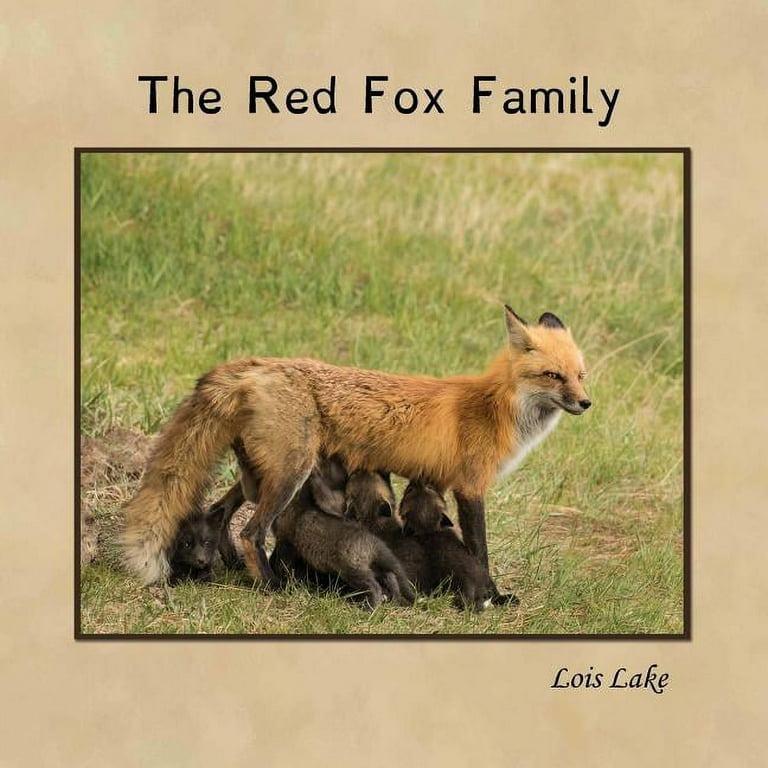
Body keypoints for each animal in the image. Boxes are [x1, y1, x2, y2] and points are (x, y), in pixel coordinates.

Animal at [121, 305, 590, 589]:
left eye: (581, 374)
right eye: (553, 376)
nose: (586, 403)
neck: (496, 408)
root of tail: (258, 366)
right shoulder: (471, 487)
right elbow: (480, 550)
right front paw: (491, 592)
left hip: (261, 473)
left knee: (221, 511)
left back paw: (235, 567)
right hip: (290, 473)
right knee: (253, 530)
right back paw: (272, 587)